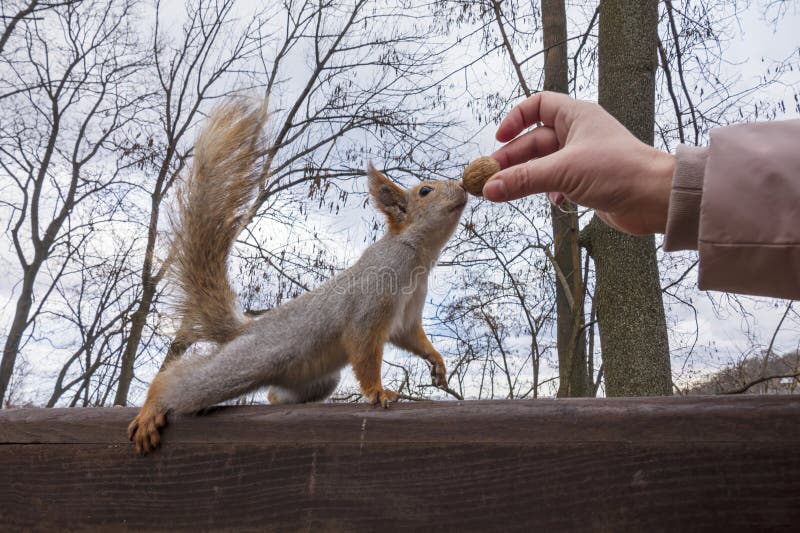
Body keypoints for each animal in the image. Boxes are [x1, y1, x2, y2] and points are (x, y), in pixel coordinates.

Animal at [128, 98, 468, 454]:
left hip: (318, 380)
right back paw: (153, 405)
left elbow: (411, 337)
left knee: (274, 393)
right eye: (425, 191)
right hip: (245, 363)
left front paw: (436, 361)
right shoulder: (370, 302)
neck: (417, 257)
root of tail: (246, 329)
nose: (461, 186)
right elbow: (364, 348)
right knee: (187, 382)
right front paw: (377, 391)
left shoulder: (408, 313)